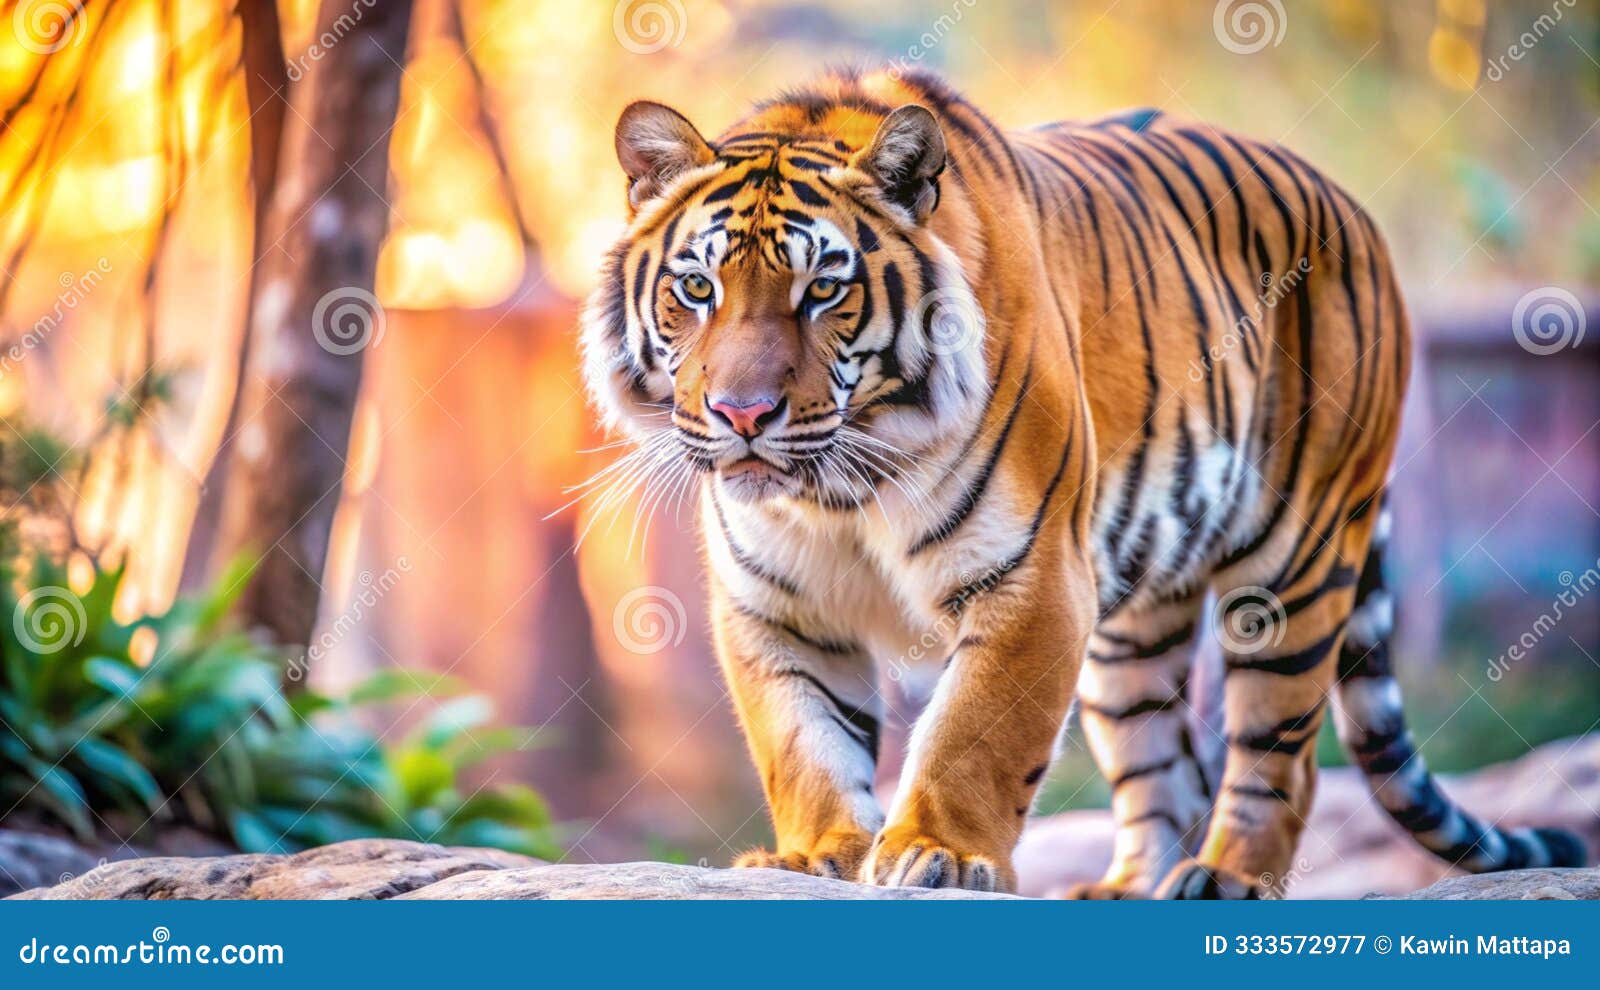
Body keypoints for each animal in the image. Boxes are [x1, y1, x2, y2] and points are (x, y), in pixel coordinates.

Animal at [579, 67, 1585, 897]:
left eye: (823, 290)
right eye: (697, 289)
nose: (742, 414)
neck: (839, 489)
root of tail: (1349, 203)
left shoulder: (1032, 578)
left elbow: (973, 733)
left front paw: (938, 853)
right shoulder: (776, 605)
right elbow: (803, 741)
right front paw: (818, 854)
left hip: (1295, 563)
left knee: (1282, 755)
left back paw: (1226, 879)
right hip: (1132, 629)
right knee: (1164, 764)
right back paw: (1127, 889)